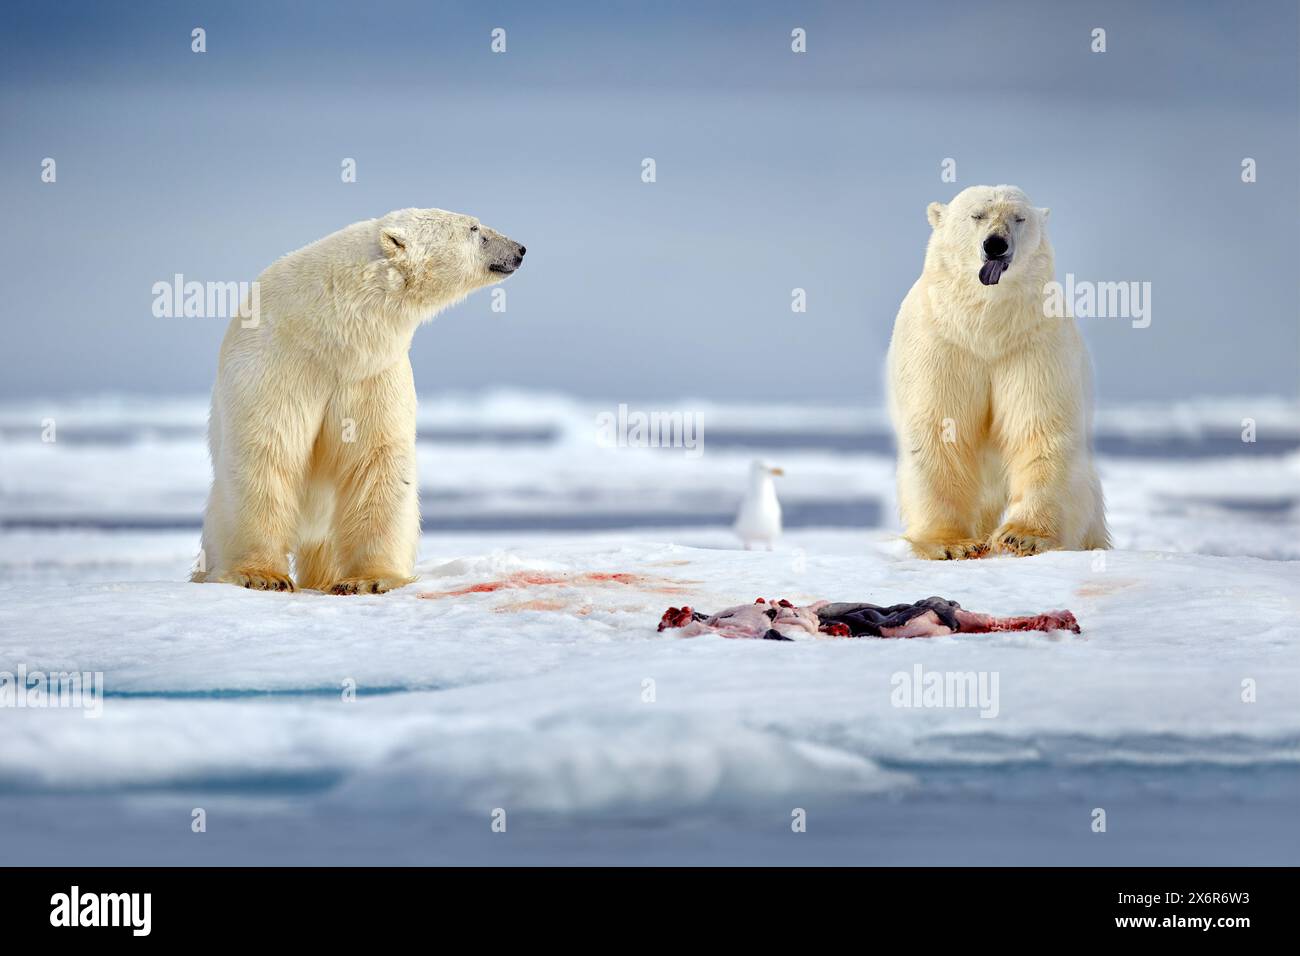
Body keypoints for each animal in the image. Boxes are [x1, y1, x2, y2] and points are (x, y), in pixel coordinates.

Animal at [191, 207, 526, 592]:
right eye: (474, 228)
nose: (519, 249)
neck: (331, 337)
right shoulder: (276, 362)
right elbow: (266, 450)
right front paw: (260, 575)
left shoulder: (371, 373)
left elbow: (376, 458)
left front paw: (368, 580)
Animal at [885, 185, 1108, 559]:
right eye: (976, 214)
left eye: (1019, 218)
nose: (995, 244)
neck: (987, 328)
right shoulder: (944, 345)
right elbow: (940, 430)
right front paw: (952, 544)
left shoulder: (1031, 345)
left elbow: (1039, 426)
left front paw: (1022, 536)